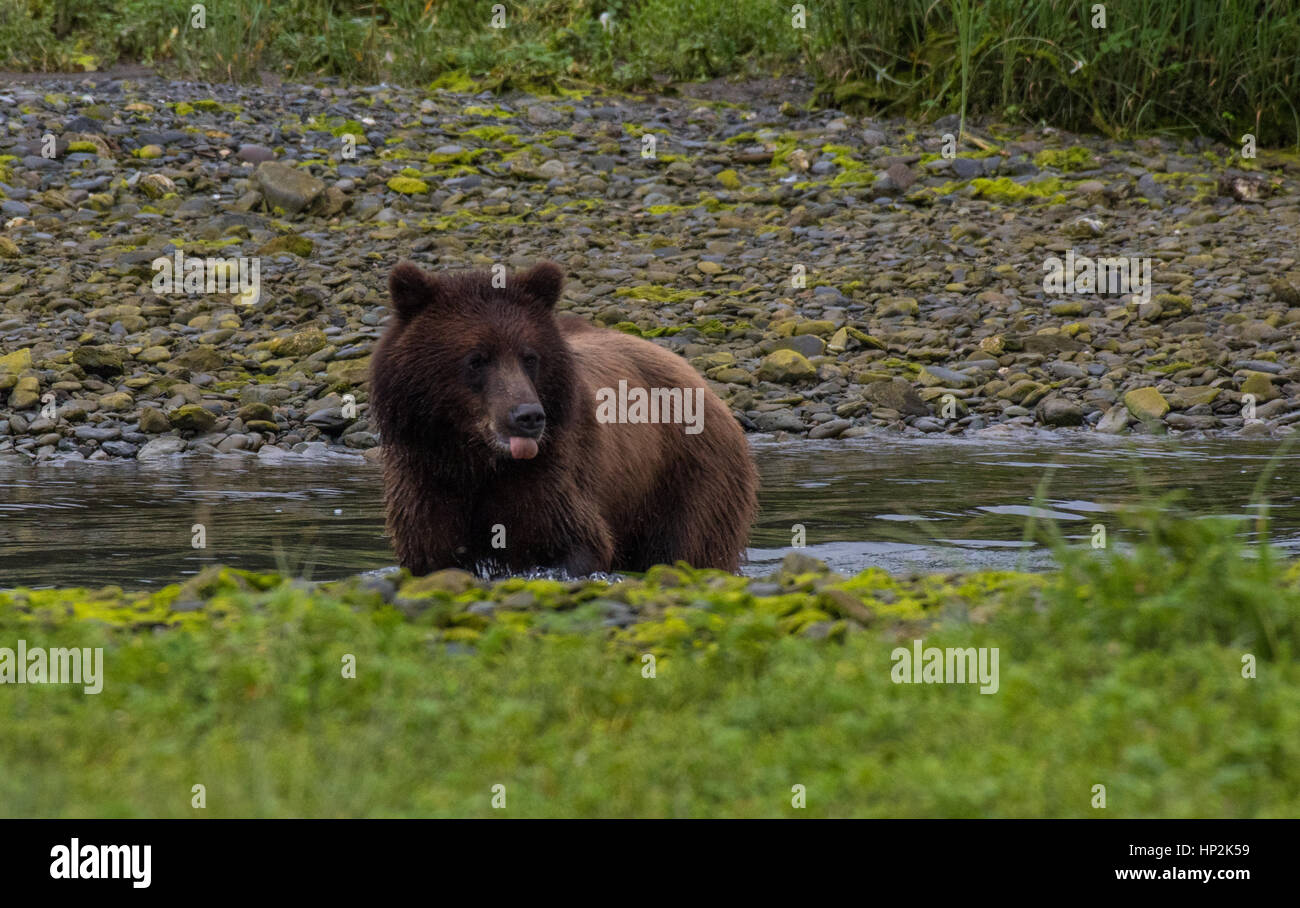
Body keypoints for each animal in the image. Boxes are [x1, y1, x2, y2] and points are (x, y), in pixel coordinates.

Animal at [369, 260, 758, 577]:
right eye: (477, 359)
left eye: (530, 357)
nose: (528, 416)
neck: (475, 461)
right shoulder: (426, 477)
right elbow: (432, 550)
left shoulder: (552, 473)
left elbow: (573, 541)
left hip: (688, 475)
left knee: (690, 546)